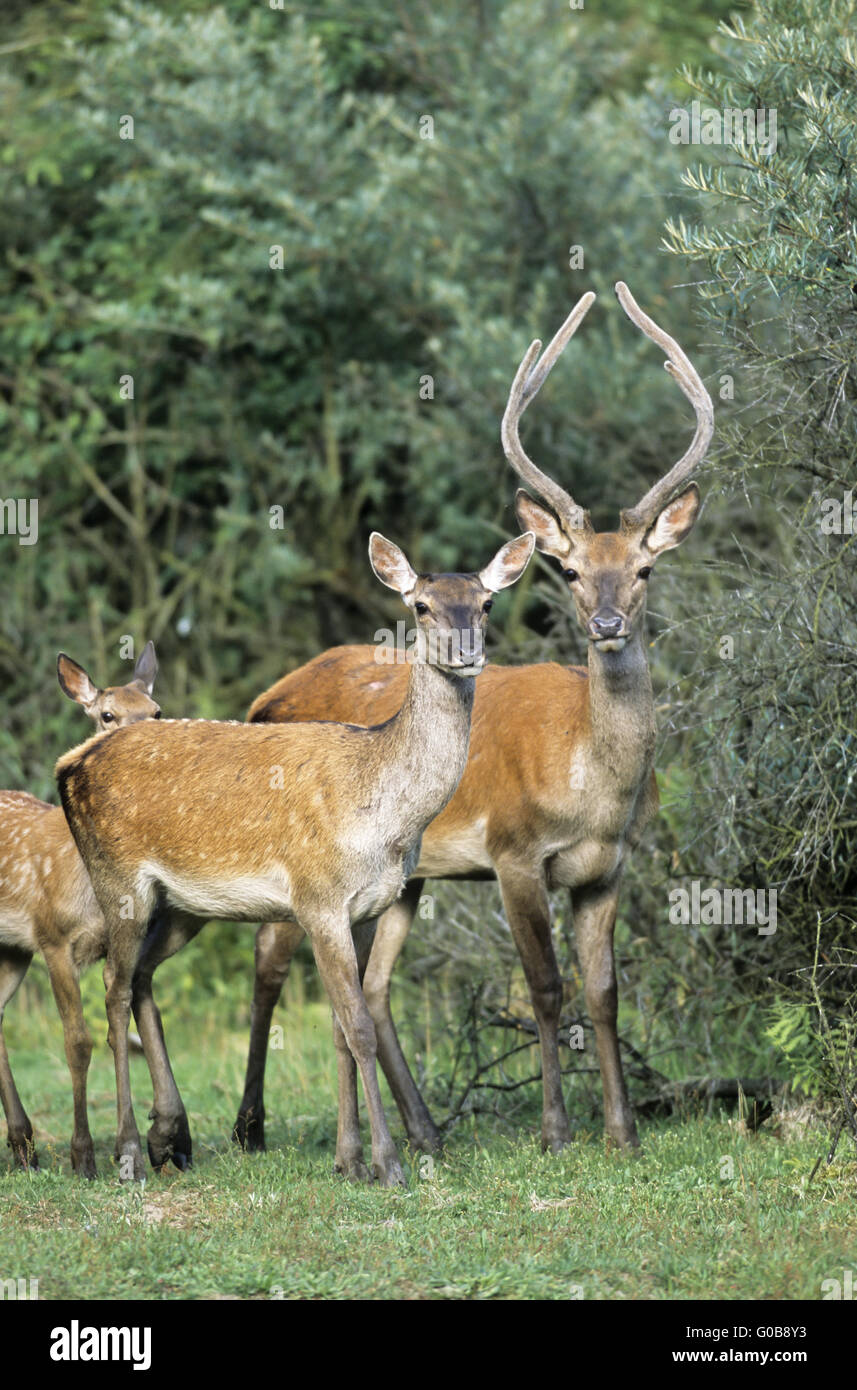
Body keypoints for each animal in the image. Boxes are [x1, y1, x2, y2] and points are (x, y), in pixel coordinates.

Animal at [0, 643, 161, 1176]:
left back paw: (24, 1145)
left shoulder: (110, 943)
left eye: (155, 711)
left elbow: (117, 1034)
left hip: (12, 950)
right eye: (107, 715)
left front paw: (128, 1149)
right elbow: (77, 1041)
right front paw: (83, 1155)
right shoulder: (53, 939)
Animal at [55, 532, 535, 1185]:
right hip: (117, 879)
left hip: (181, 904)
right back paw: (127, 1152)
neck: (385, 814)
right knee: (114, 988)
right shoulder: (318, 896)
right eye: (421, 606)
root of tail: (69, 764)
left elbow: (339, 1028)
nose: (466, 652)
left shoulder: (363, 908)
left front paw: (349, 1160)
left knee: (142, 977)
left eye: (486, 604)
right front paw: (389, 1164)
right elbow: (359, 1026)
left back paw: (169, 1137)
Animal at [231, 282, 714, 1158]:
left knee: (373, 986)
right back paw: (251, 1127)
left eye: (644, 570)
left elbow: (604, 990)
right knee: (272, 962)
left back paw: (426, 1131)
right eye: (570, 571)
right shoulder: (513, 849)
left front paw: (622, 1131)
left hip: (406, 877)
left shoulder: (610, 866)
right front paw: (558, 1130)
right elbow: (546, 987)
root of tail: (265, 695)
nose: (605, 625)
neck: (593, 784)